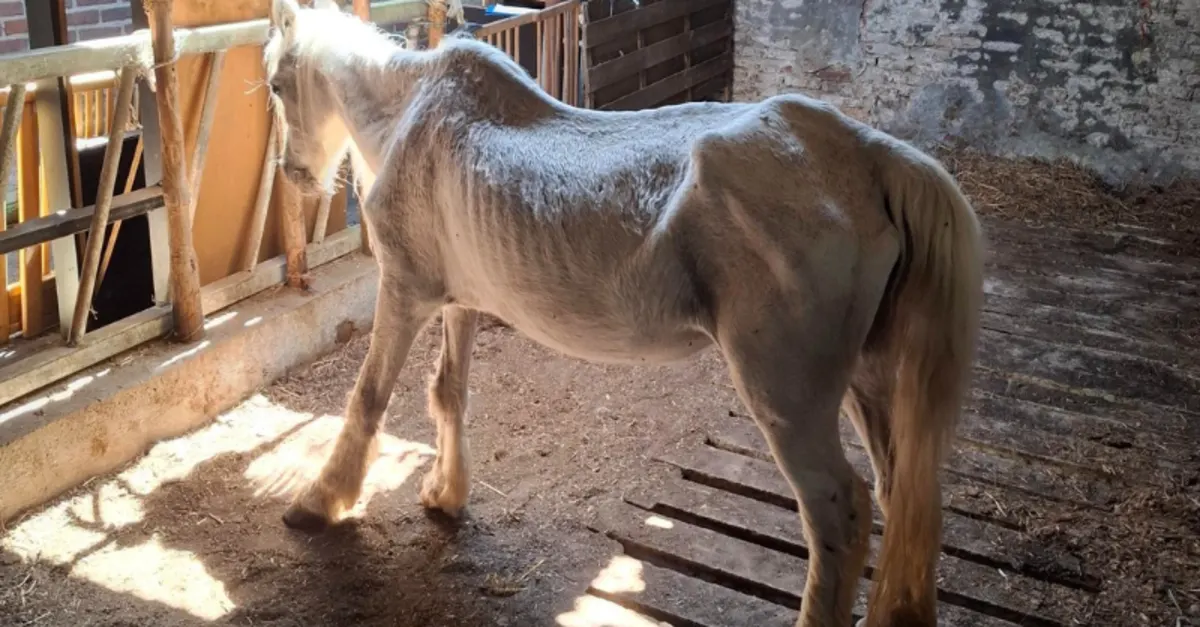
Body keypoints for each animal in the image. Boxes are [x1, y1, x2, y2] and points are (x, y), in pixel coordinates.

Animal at [262, 1, 984, 625]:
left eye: (275, 83)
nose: (294, 174)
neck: (411, 113)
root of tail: (867, 157)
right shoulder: (457, 301)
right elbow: (449, 393)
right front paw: (445, 495)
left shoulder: (405, 291)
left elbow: (369, 398)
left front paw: (319, 502)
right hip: (867, 380)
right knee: (902, 492)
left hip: (787, 395)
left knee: (840, 511)